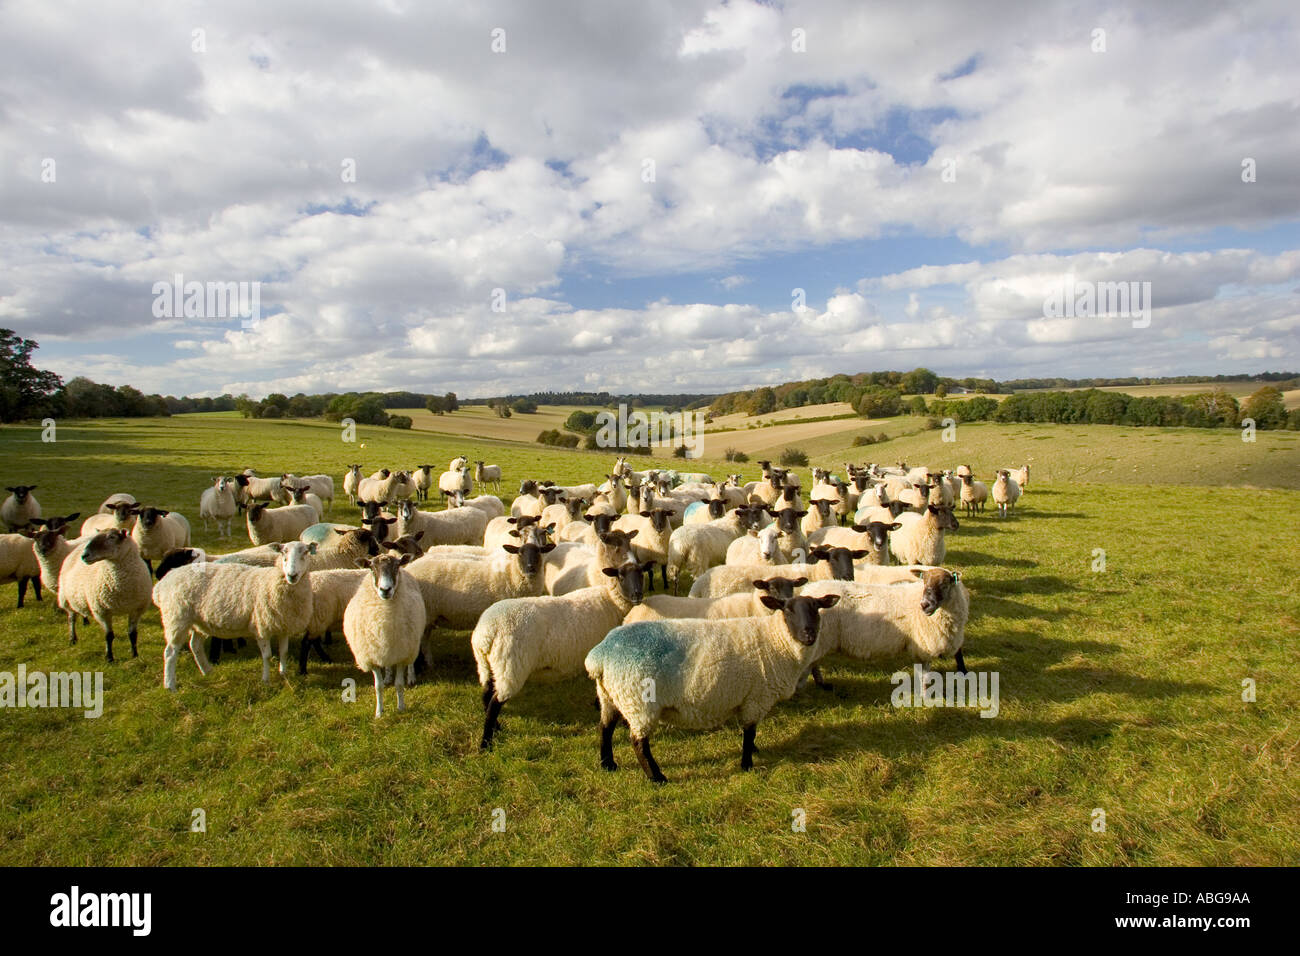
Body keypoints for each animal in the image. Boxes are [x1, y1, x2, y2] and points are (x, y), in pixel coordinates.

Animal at [57, 530, 153, 662]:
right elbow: (109, 636)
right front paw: (109, 657)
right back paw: (72, 638)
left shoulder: (137, 609)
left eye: (112, 537)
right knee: (71, 618)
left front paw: (135, 655)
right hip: (66, 598)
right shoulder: (101, 611)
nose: (85, 555)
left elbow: (132, 634)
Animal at [155, 540, 318, 689]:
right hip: (176, 618)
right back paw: (170, 686)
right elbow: (267, 656)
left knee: (195, 645)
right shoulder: (261, 626)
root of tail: (165, 580)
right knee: (170, 652)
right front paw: (266, 680)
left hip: (198, 621)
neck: (273, 582)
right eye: (283, 553)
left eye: (305, 552)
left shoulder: (283, 625)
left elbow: (283, 652)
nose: (292, 575)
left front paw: (283, 675)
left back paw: (207, 671)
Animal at [343, 553, 426, 717]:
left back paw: (411, 677)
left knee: (411, 662)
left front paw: (401, 707)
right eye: (371, 567)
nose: (385, 589)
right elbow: (378, 686)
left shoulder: (402, 654)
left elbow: (399, 684)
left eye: (396, 566)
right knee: (387, 665)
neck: (384, 617)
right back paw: (388, 676)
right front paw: (379, 712)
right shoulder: (372, 657)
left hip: (412, 643)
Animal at [474, 561, 650, 749]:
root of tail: (486, 633)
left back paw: (496, 728)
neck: (611, 600)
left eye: (641, 573)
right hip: (510, 667)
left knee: (486, 695)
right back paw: (486, 743)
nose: (637, 595)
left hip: (490, 666)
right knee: (494, 703)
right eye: (621, 576)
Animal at [584, 592, 840, 781]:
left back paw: (608, 764)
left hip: (610, 696)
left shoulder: (748, 700)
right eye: (787, 610)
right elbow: (749, 731)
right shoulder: (755, 698)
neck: (775, 640)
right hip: (639, 702)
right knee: (638, 742)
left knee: (605, 728)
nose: (809, 634)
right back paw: (657, 777)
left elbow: (750, 733)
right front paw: (747, 764)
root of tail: (600, 655)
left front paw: (754, 751)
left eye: (817, 608)